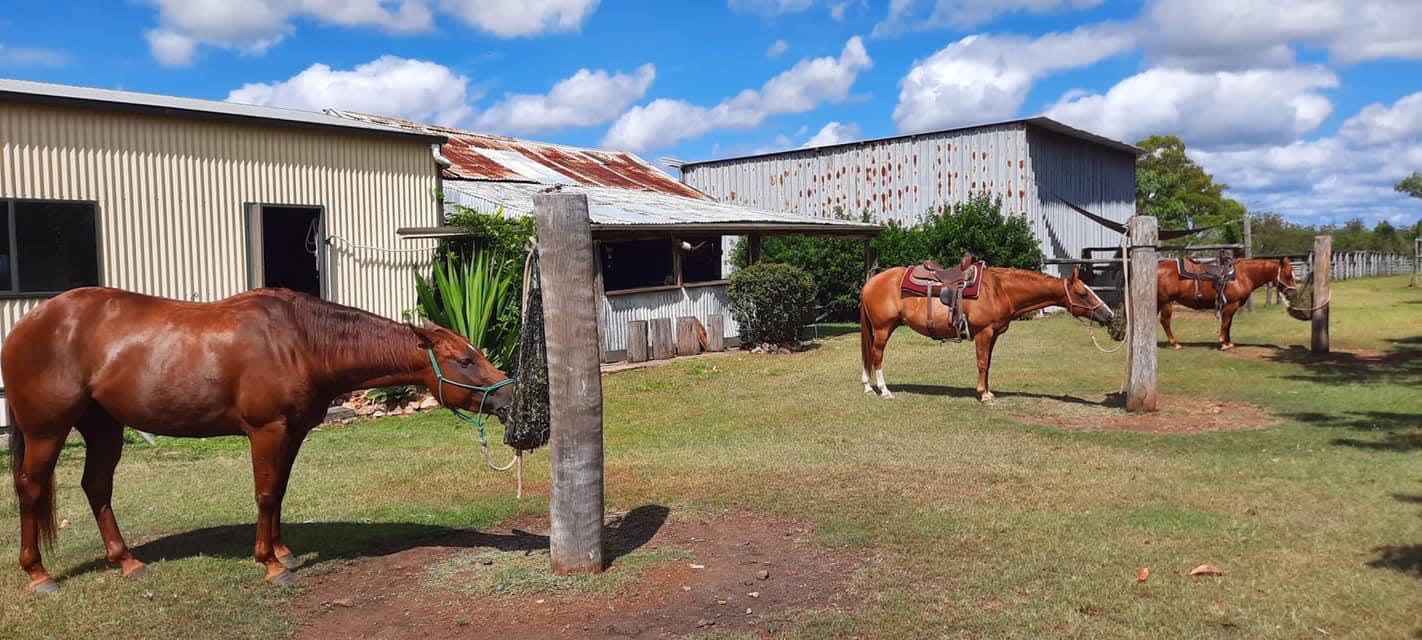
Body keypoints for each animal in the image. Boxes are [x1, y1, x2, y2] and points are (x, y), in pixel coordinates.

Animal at [2, 287, 515, 593]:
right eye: (465, 360)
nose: (511, 397)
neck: (302, 342)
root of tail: (27, 323)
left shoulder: (292, 432)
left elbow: (280, 493)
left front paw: (284, 553)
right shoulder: (266, 430)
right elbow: (266, 494)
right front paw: (270, 564)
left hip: (104, 426)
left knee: (97, 487)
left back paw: (126, 560)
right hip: (47, 429)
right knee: (31, 488)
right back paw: (39, 574)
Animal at [859, 265, 1115, 404]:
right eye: (1083, 293)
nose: (1109, 315)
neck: (1000, 290)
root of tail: (871, 282)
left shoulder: (993, 334)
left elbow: (988, 364)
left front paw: (988, 391)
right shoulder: (984, 332)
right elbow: (982, 363)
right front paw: (983, 395)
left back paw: (868, 387)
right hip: (883, 329)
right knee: (876, 357)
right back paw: (884, 391)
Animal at [1157, 256, 1299, 350]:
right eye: (1288, 275)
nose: (1293, 293)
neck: (1242, 275)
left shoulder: (1232, 305)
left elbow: (1229, 324)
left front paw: (1228, 342)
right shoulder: (1231, 304)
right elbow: (1225, 323)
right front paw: (1224, 343)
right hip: (1166, 302)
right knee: (1165, 322)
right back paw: (1175, 343)